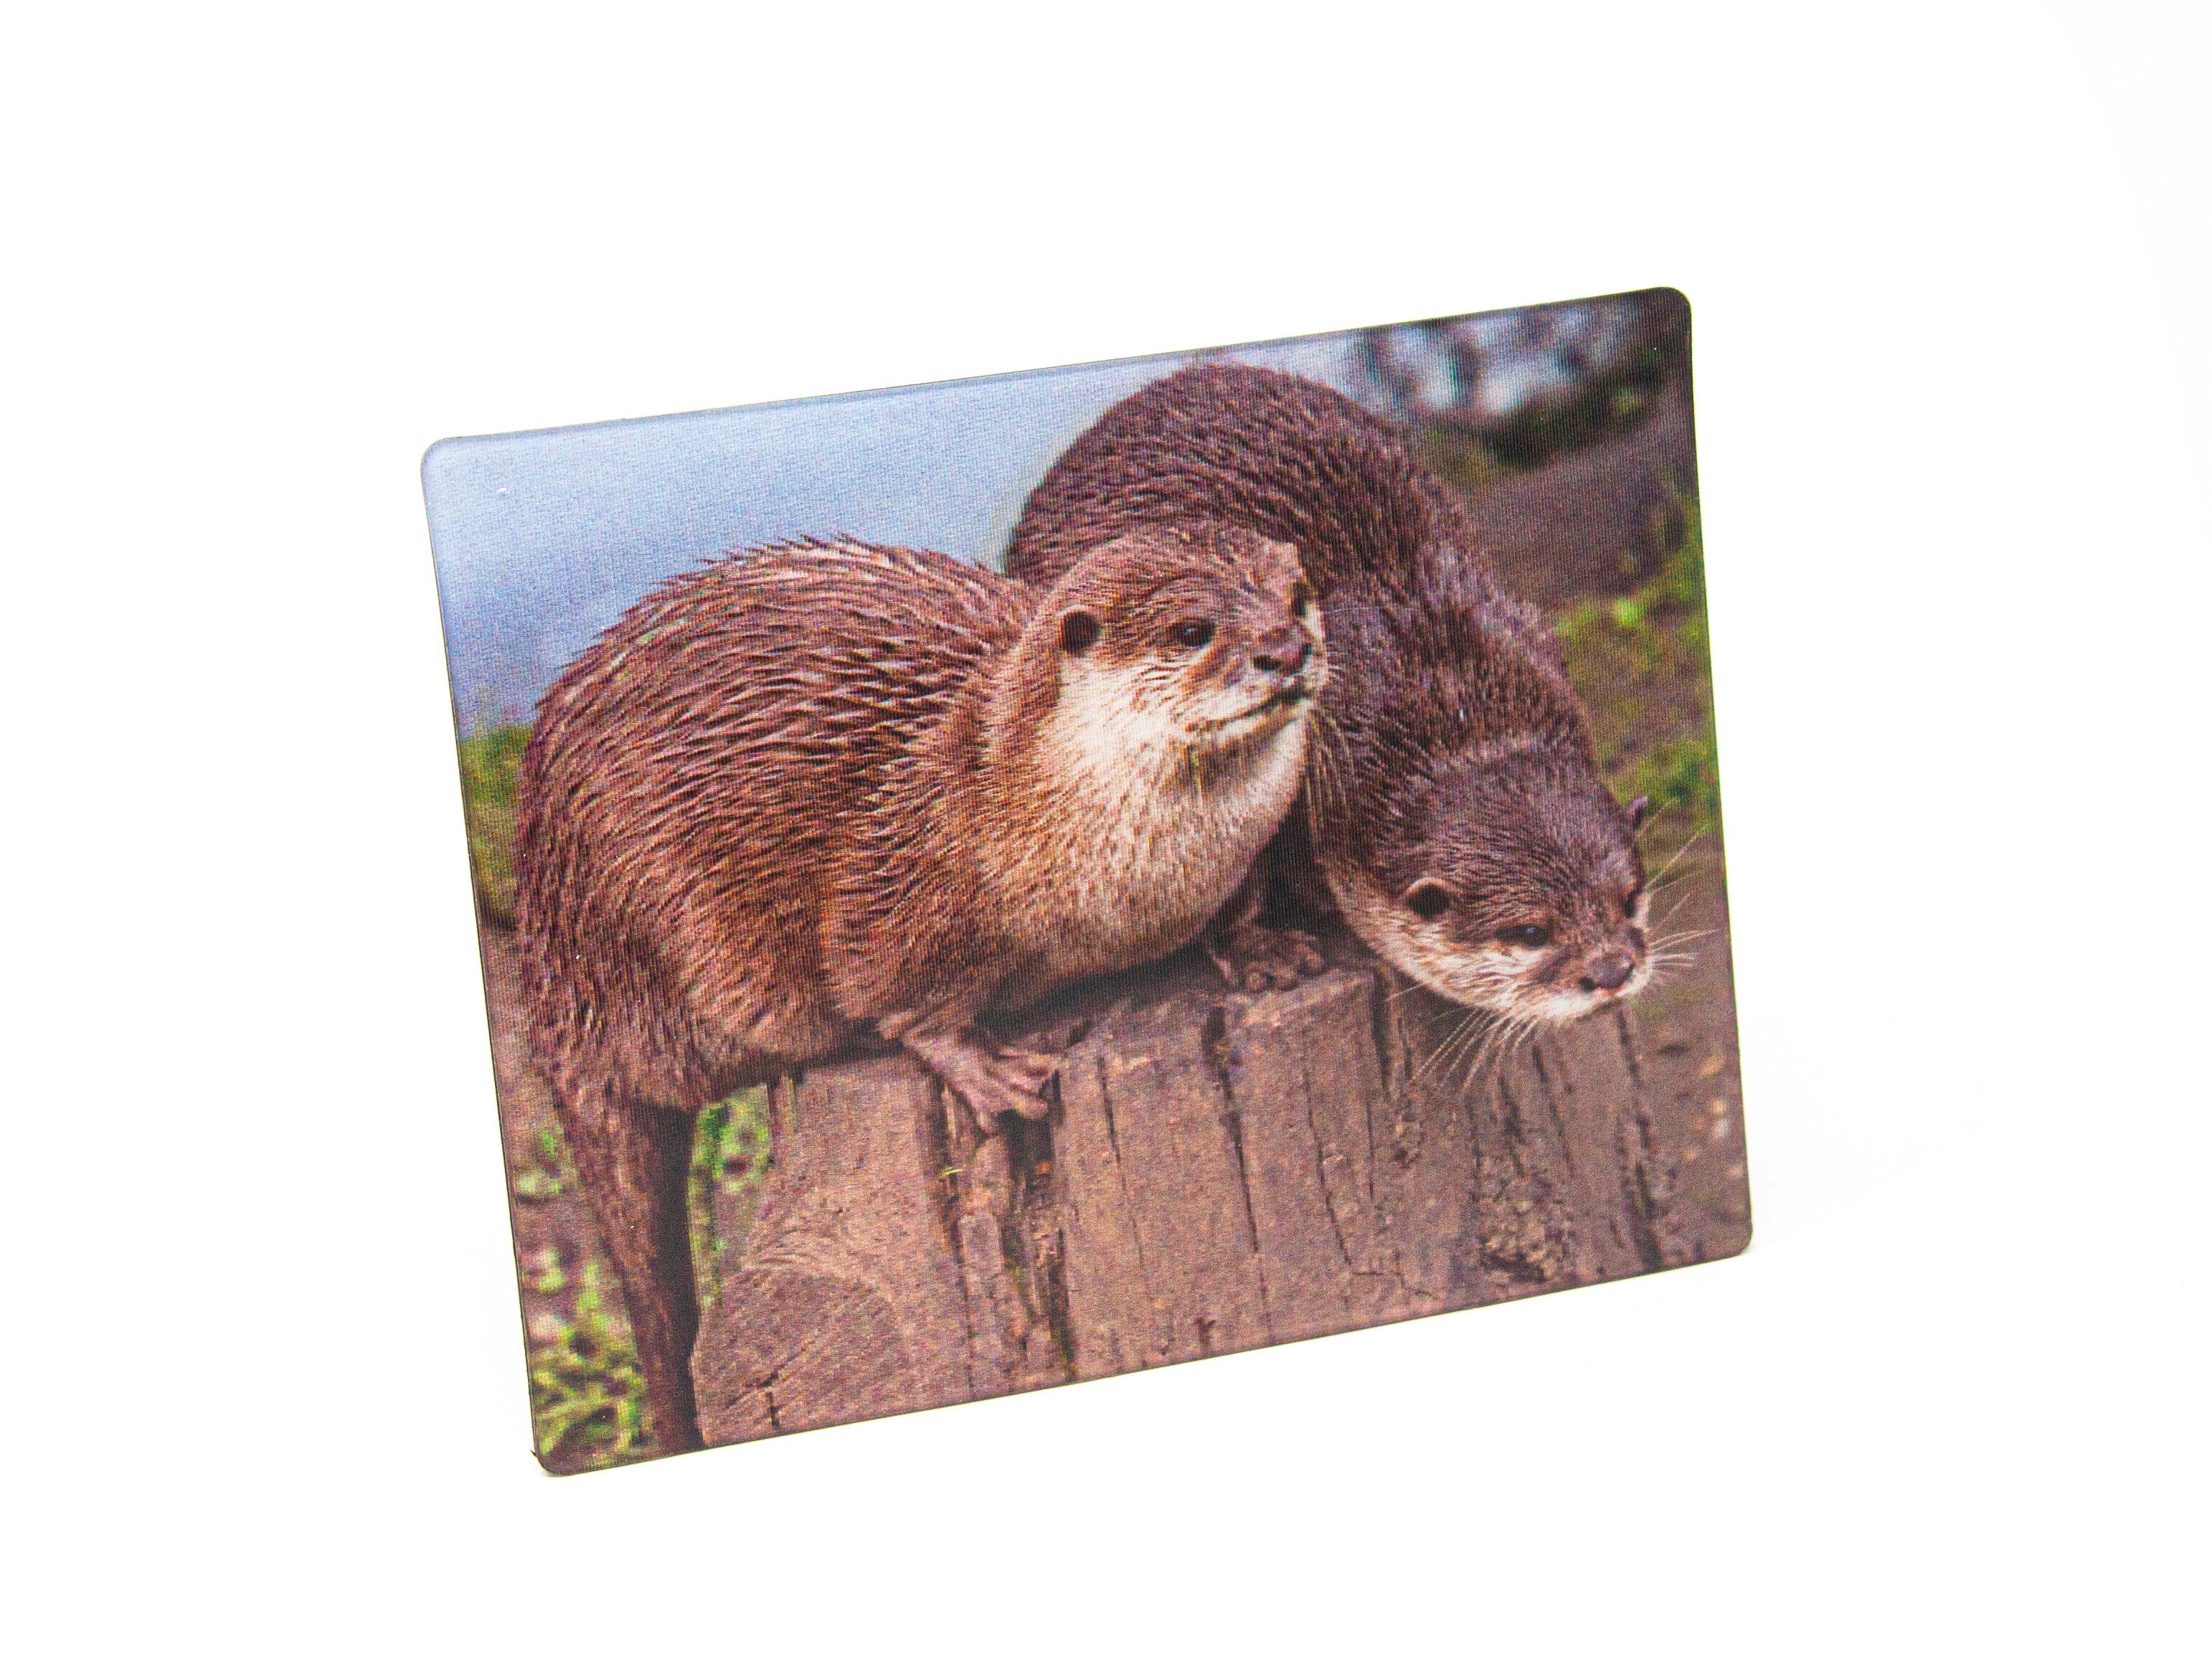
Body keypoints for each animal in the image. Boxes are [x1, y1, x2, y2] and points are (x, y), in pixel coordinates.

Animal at [514, 522, 1324, 1448]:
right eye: (1193, 630)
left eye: (1296, 596)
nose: (1286, 648)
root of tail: (550, 976)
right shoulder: (907, 864)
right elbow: (891, 988)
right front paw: (987, 1069)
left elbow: (1244, 903)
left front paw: (1262, 946)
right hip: (666, 930)